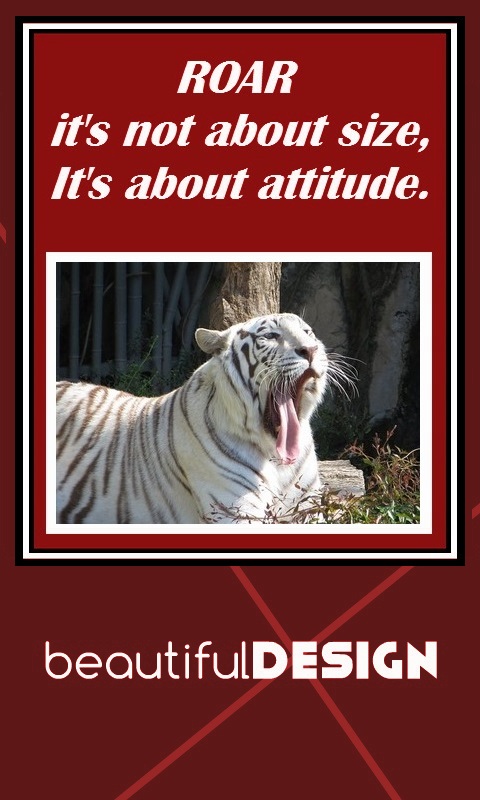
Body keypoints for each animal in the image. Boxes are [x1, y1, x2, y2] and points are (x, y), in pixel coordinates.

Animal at [56, 313, 353, 525]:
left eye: (308, 332)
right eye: (271, 335)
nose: (311, 349)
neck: (276, 458)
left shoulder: (310, 506)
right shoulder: (234, 511)